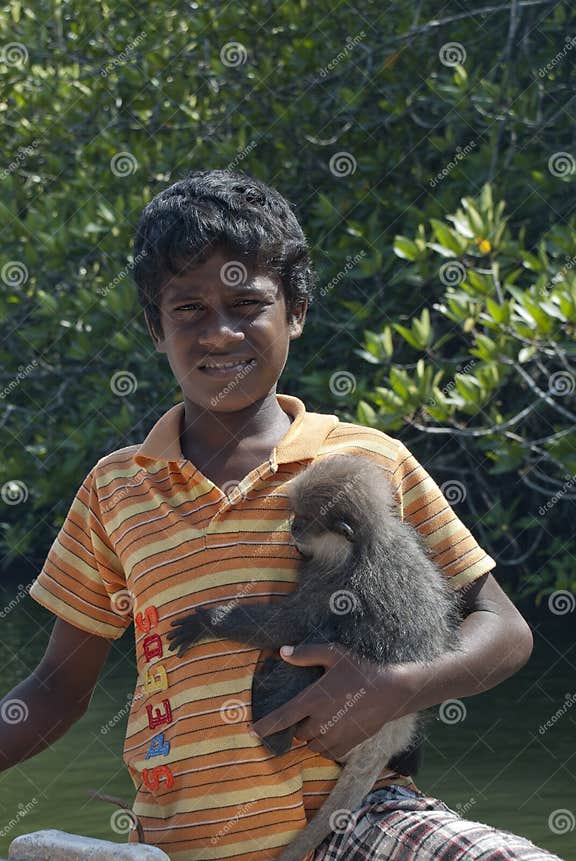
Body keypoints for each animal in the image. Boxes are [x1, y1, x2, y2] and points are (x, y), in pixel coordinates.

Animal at [167, 454, 463, 861]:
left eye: (305, 520)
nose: (292, 527)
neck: (366, 542)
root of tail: (389, 733)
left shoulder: (333, 584)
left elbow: (287, 628)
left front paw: (208, 621)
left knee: (307, 653)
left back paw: (275, 737)